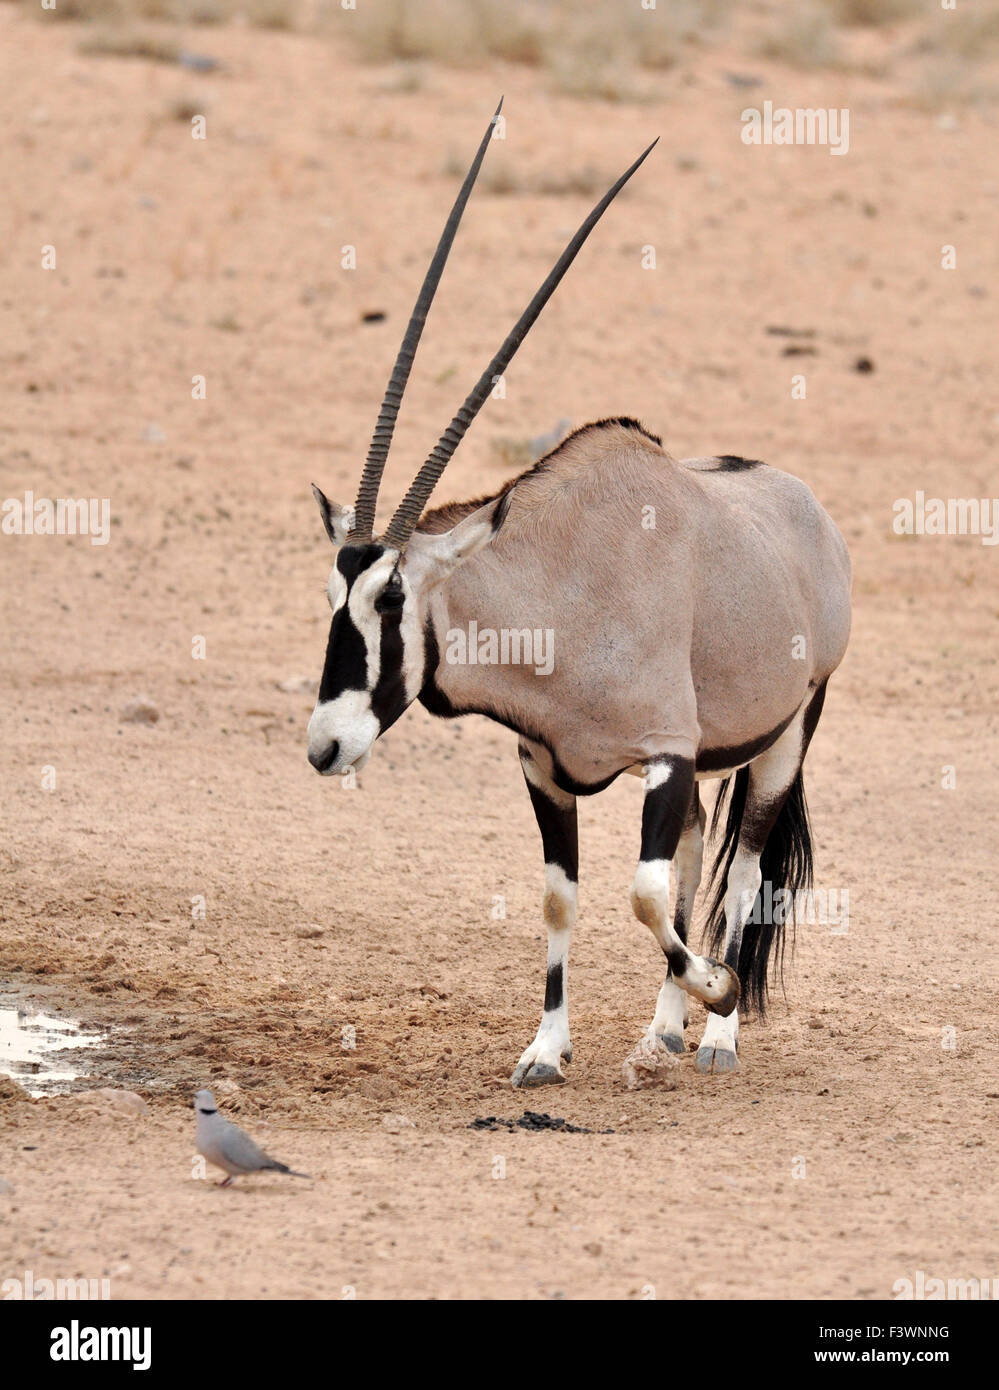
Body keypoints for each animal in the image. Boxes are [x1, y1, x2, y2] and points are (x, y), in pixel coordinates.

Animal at [307, 103, 851, 1086]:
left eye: (392, 601)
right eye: (335, 596)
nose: (325, 747)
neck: (563, 590)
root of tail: (806, 510)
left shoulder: (663, 754)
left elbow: (643, 894)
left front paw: (717, 992)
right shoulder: (547, 766)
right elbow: (568, 898)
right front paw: (544, 1049)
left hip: (786, 735)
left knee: (741, 869)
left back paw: (716, 1032)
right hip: (708, 759)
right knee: (693, 863)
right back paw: (663, 1030)